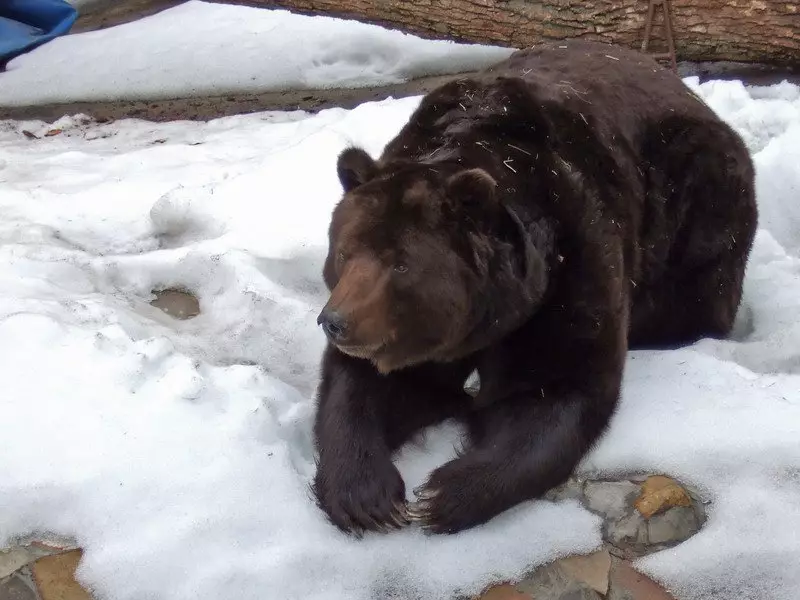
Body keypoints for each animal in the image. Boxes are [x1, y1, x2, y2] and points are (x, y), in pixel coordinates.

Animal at [310, 39, 756, 536]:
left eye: (402, 264)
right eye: (345, 252)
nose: (336, 321)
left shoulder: (569, 267)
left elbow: (552, 390)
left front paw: (442, 495)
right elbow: (362, 385)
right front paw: (367, 496)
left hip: (694, 194)